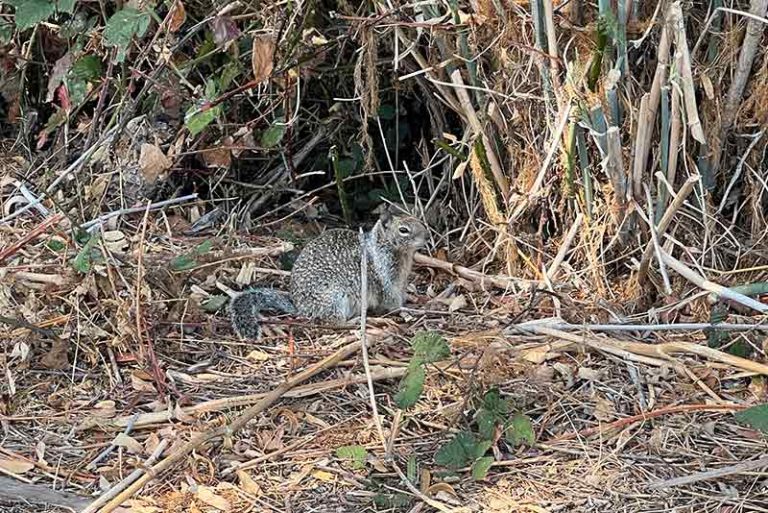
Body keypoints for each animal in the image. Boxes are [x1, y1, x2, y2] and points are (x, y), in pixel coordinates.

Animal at [230, 211, 428, 339]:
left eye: (419, 220)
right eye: (404, 230)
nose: (427, 236)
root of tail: (300, 307)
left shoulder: (400, 281)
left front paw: (412, 301)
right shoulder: (385, 278)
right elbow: (392, 301)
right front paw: (408, 310)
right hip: (335, 297)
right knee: (332, 321)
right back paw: (357, 321)